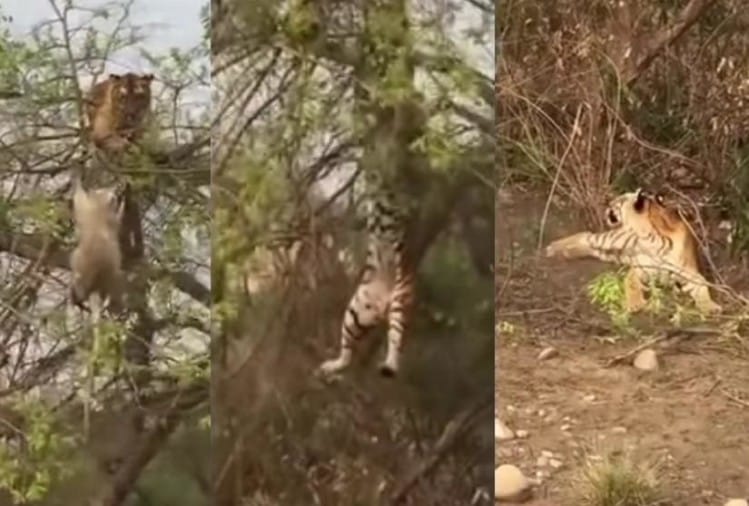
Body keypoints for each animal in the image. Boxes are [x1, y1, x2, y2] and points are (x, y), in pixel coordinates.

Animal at [317, 178, 416, 378]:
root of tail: (384, 307)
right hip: (354, 315)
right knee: (347, 354)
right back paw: (332, 366)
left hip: (399, 308)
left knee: (395, 340)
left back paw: (389, 365)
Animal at [544, 188, 722, 314]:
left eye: (621, 200)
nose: (609, 200)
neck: (651, 239)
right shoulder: (638, 271)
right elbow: (632, 285)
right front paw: (635, 304)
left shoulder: (691, 274)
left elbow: (703, 288)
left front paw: (710, 307)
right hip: (611, 239)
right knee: (586, 236)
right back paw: (553, 248)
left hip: (611, 252)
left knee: (590, 244)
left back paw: (563, 252)